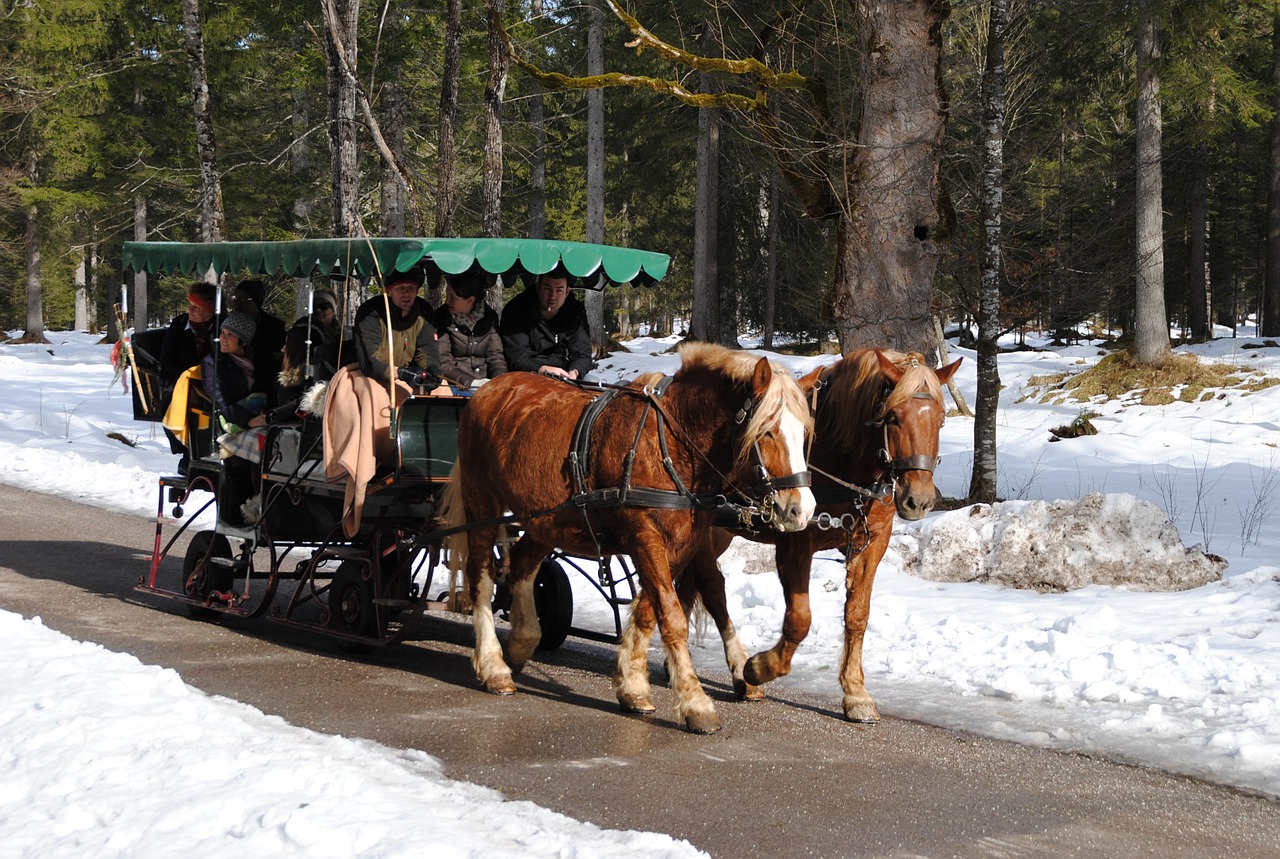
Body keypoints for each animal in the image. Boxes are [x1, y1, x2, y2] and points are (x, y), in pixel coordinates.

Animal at [440, 343, 814, 732]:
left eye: (804, 434)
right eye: (767, 431)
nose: (800, 510)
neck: (672, 446)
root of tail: (488, 388)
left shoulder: (680, 543)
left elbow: (651, 609)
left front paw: (632, 685)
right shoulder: (645, 535)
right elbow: (672, 617)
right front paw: (695, 702)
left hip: (546, 518)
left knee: (523, 565)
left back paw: (521, 643)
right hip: (482, 504)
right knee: (481, 578)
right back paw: (493, 665)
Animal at [619, 345, 962, 722]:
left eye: (940, 419)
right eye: (894, 417)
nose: (919, 499)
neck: (840, 457)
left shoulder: (873, 542)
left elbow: (857, 615)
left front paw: (856, 692)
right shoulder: (795, 541)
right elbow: (799, 619)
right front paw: (759, 668)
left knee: (689, 587)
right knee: (711, 588)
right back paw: (736, 673)